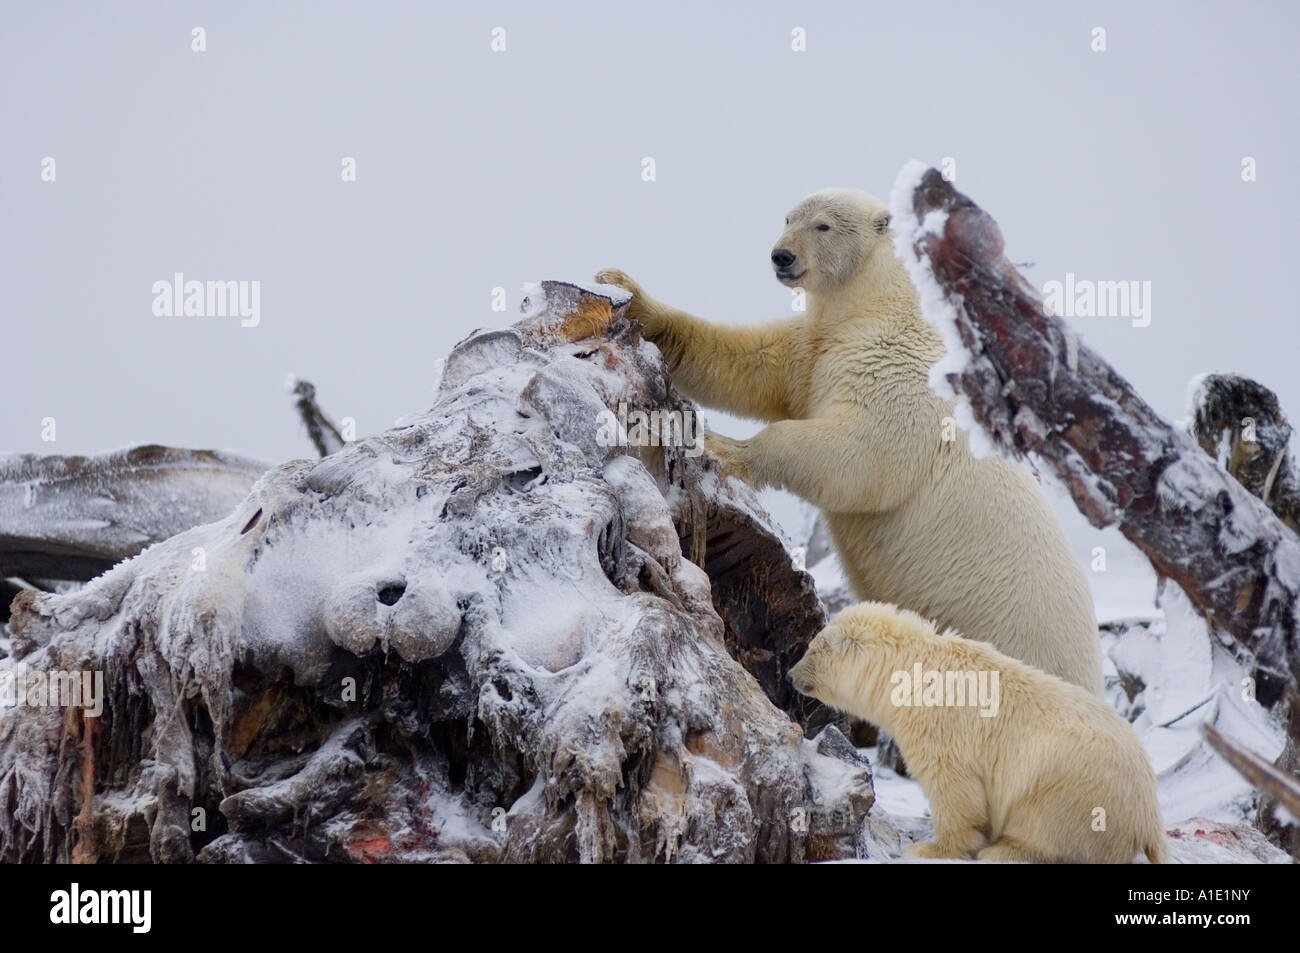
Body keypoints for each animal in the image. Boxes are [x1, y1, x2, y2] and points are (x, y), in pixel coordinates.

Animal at [596, 187, 1102, 693]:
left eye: (822, 225)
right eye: (787, 218)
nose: (781, 255)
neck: (876, 304)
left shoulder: (896, 373)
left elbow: (861, 453)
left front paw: (723, 446)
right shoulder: (814, 346)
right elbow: (749, 362)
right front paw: (623, 287)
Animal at [788, 601, 1167, 863]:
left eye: (812, 648)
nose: (791, 675)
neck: (910, 670)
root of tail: (1148, 814)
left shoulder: (940, 726)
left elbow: (953, 787)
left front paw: (931, 847)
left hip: (1071, 785)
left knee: (1043, 825)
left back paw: (1005, 850)